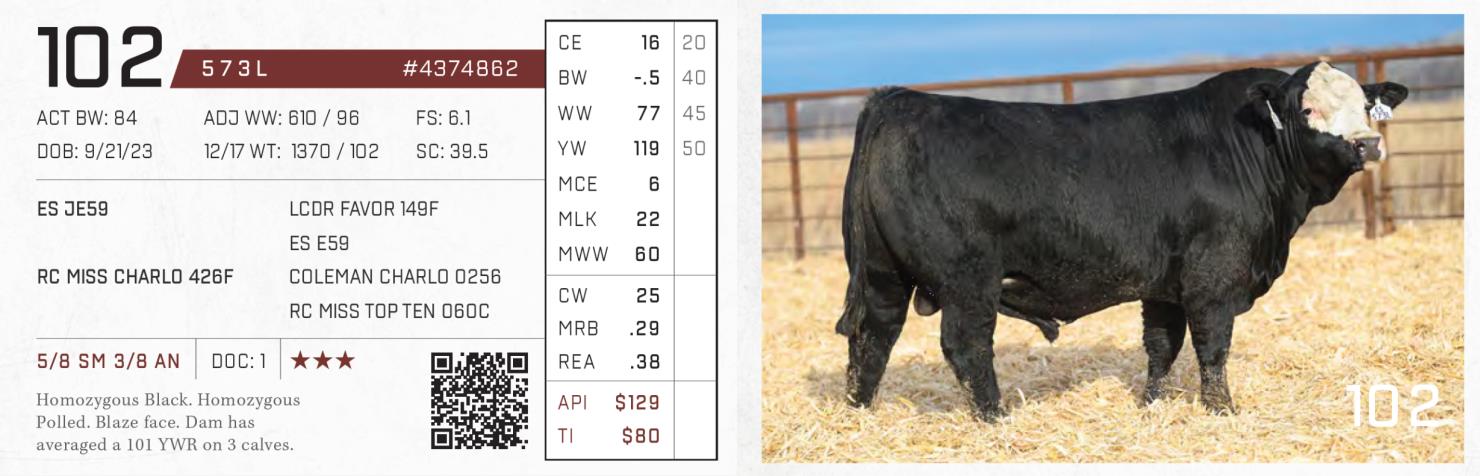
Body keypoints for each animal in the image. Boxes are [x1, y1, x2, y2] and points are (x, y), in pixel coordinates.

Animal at [836, 61, 1408, 420]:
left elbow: (1161, 346)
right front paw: (1222, 410)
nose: (1367, 144)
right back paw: (994, 418)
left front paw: (1151, 404)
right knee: (966, 345)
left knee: (873, 337)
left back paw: (858, 412)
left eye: (1365, 105)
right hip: (967, 278)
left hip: (884, 274)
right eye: (1308, 110)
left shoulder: (1165, 283)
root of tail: (901, 99)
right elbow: (1211, 346)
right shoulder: (1213, 277)